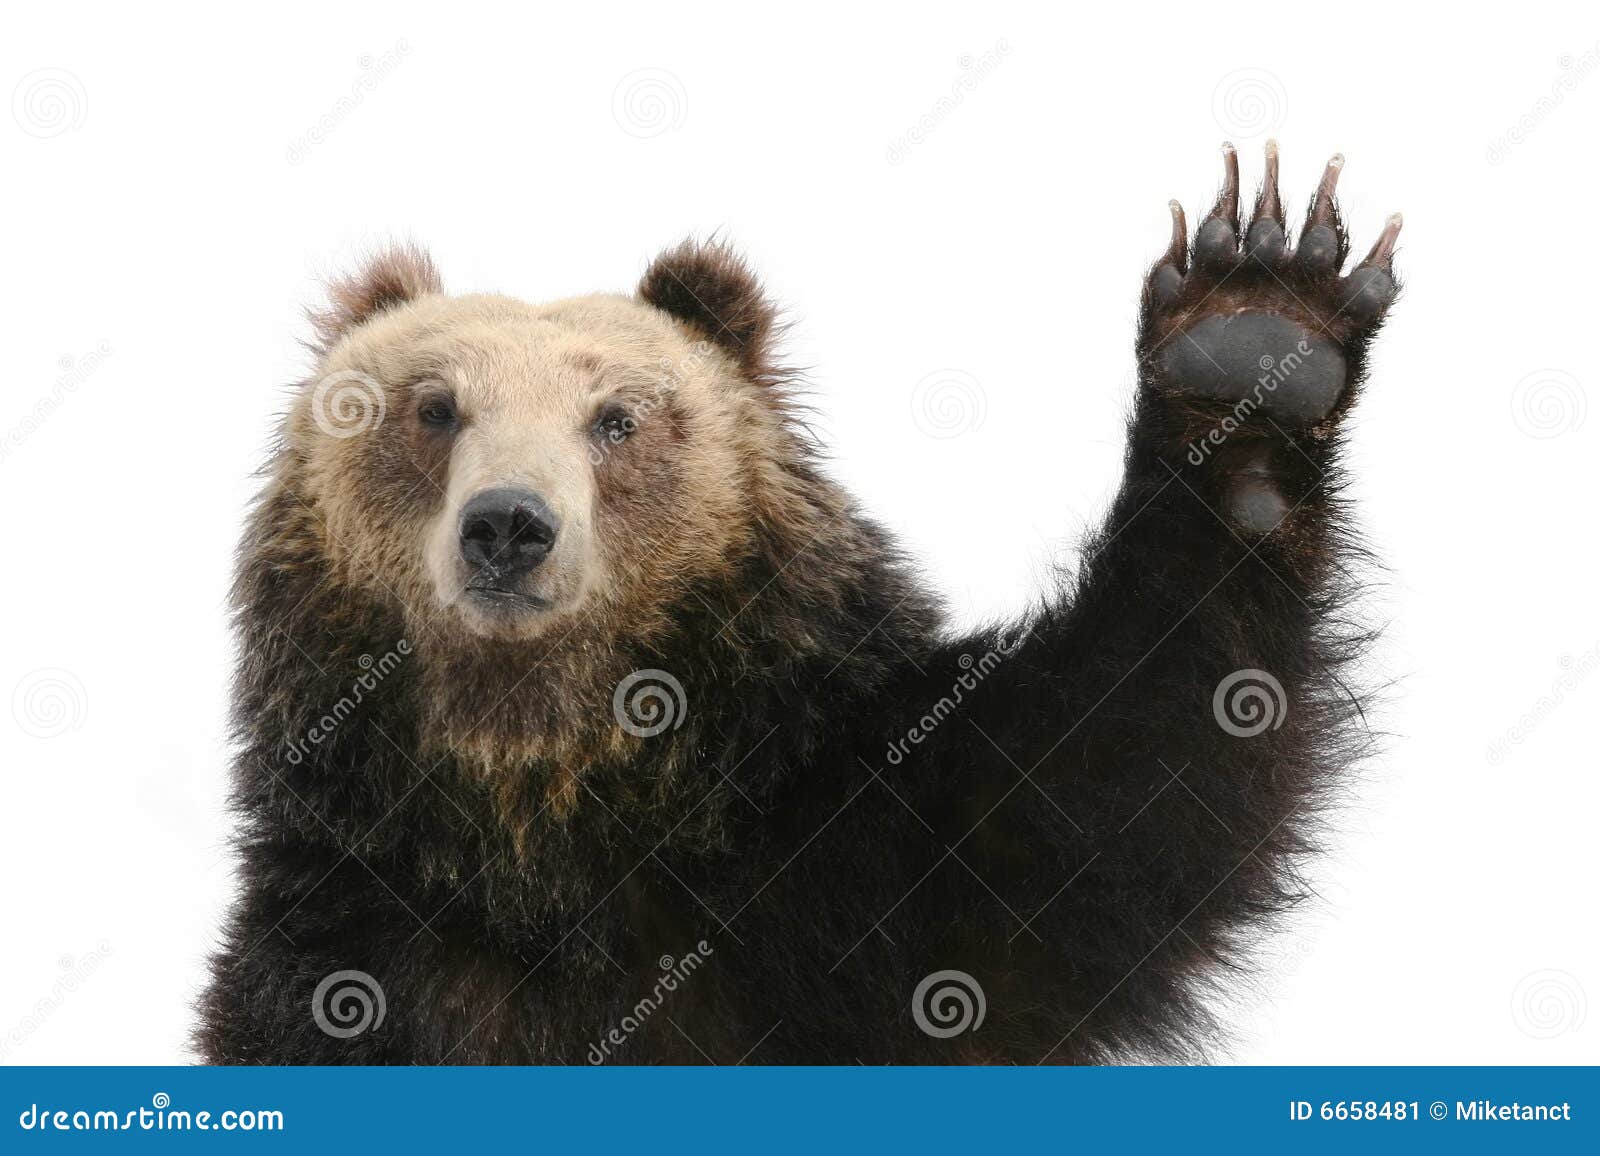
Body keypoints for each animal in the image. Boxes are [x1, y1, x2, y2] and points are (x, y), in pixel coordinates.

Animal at [197, 140, 1401, 1064]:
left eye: (617, 418)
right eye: (435, 407)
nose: (507, 525)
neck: (545, 807)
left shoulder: (847, 865)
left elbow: (1115, 784)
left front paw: (1254, 326)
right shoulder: (347, 947)